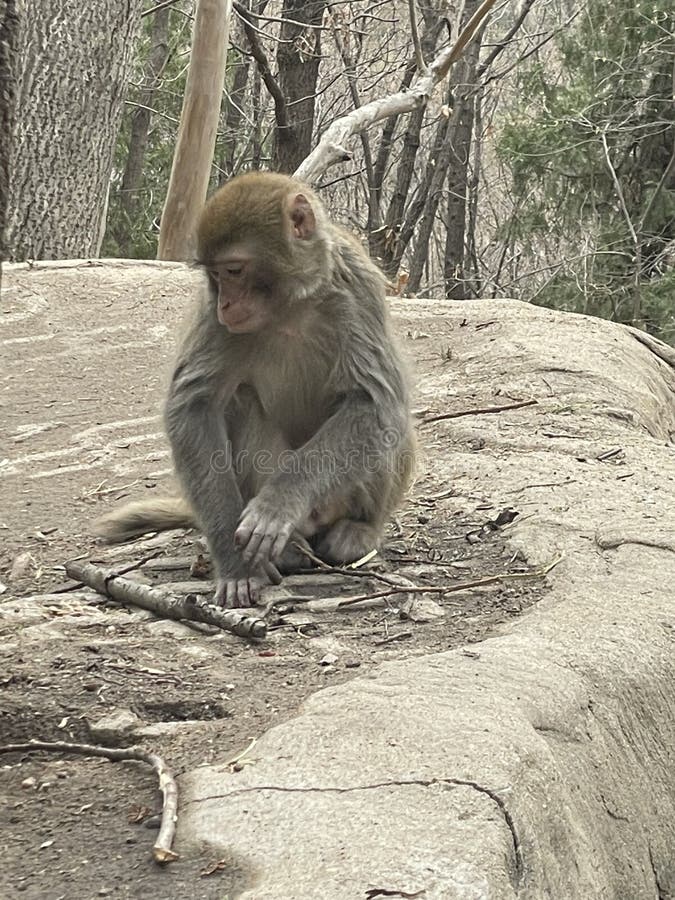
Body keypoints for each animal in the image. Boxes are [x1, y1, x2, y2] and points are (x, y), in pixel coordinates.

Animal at [96, 172, 415, 608]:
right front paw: (237, 565)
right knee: (241, 399)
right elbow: (196, 406)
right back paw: (290, 550)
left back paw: (357, 530)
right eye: (214, 276)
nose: (226, 306)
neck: (290, 305)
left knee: (387, 429)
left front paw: (279, 503)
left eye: (233, 270)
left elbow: (374, 402)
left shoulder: (356, 289)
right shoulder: (210, 313)